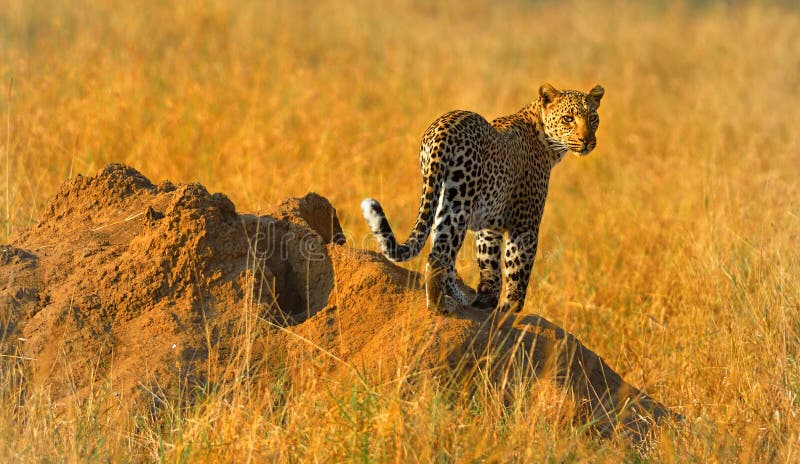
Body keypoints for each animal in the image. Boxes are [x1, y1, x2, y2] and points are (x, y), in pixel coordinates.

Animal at [362, 83, 604, 314]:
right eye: (568, 118)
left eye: (593, 118)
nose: (587, 141)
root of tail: (443, 126)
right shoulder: (525, 225)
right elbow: (517, 270)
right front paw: (510, 310)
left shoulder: (490, 228)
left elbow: (489, 265)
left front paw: (487, 302)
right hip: (459, 203)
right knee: (439, 255)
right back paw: (441, 306)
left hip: (438, 197)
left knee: (444, 254)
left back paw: (459, 298)